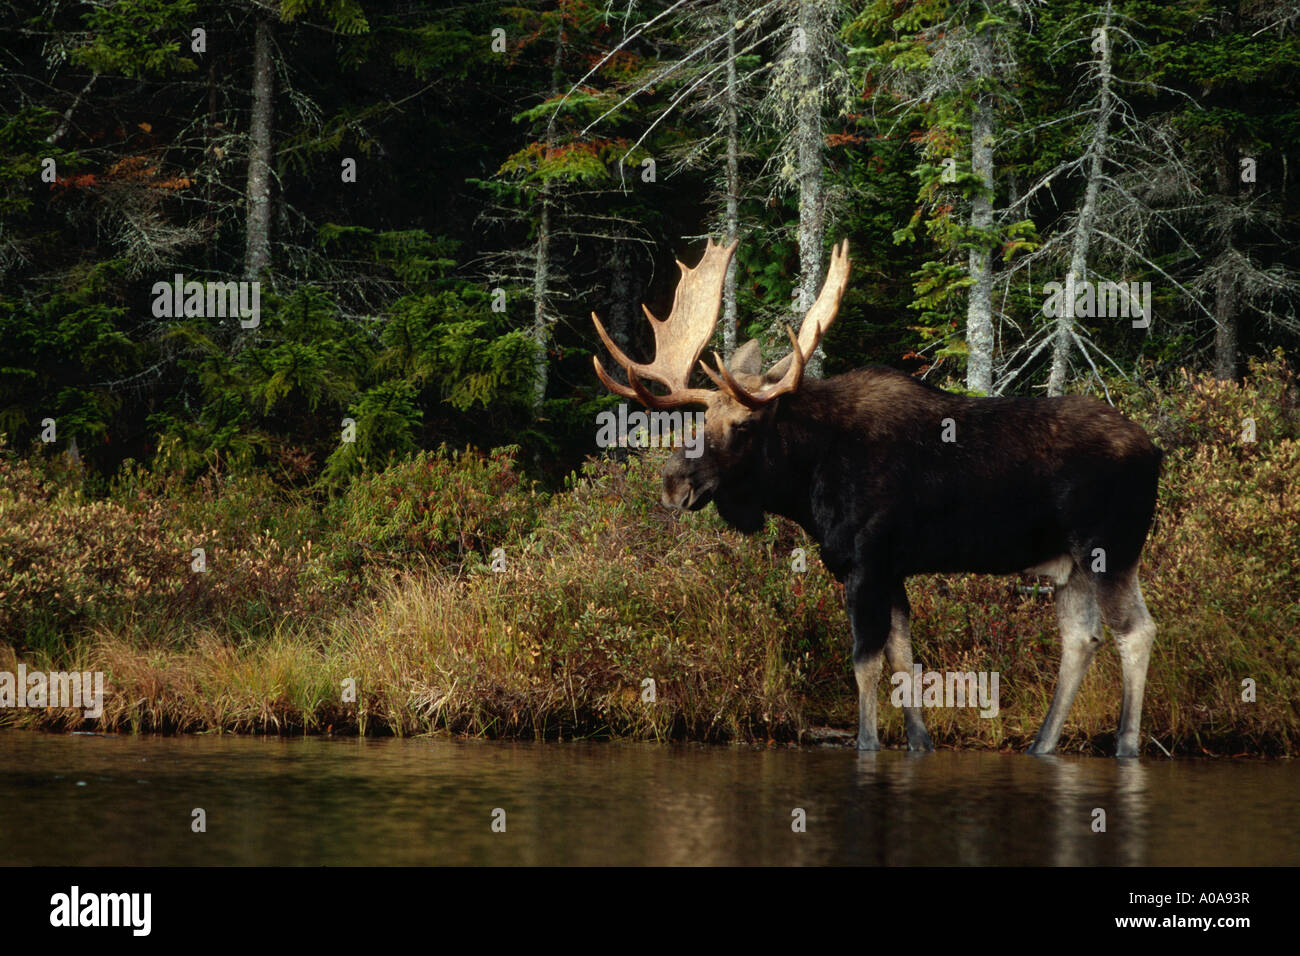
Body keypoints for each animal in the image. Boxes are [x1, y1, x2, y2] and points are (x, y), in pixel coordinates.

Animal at [591, 238, 1163, 758]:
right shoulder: (893, 570)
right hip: (1070, 565)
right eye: (702, 419)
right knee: (1082, 638)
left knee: (1136, 630)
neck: (809, 485)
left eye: (744, 425)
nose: (673, 483)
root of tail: (1156, 452)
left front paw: (868, 742)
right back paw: (1042, 744)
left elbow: (865, 662)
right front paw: (919, 742)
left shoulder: (866, 561)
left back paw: (1126, 744)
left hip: (1109, 549)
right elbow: (903, 658)